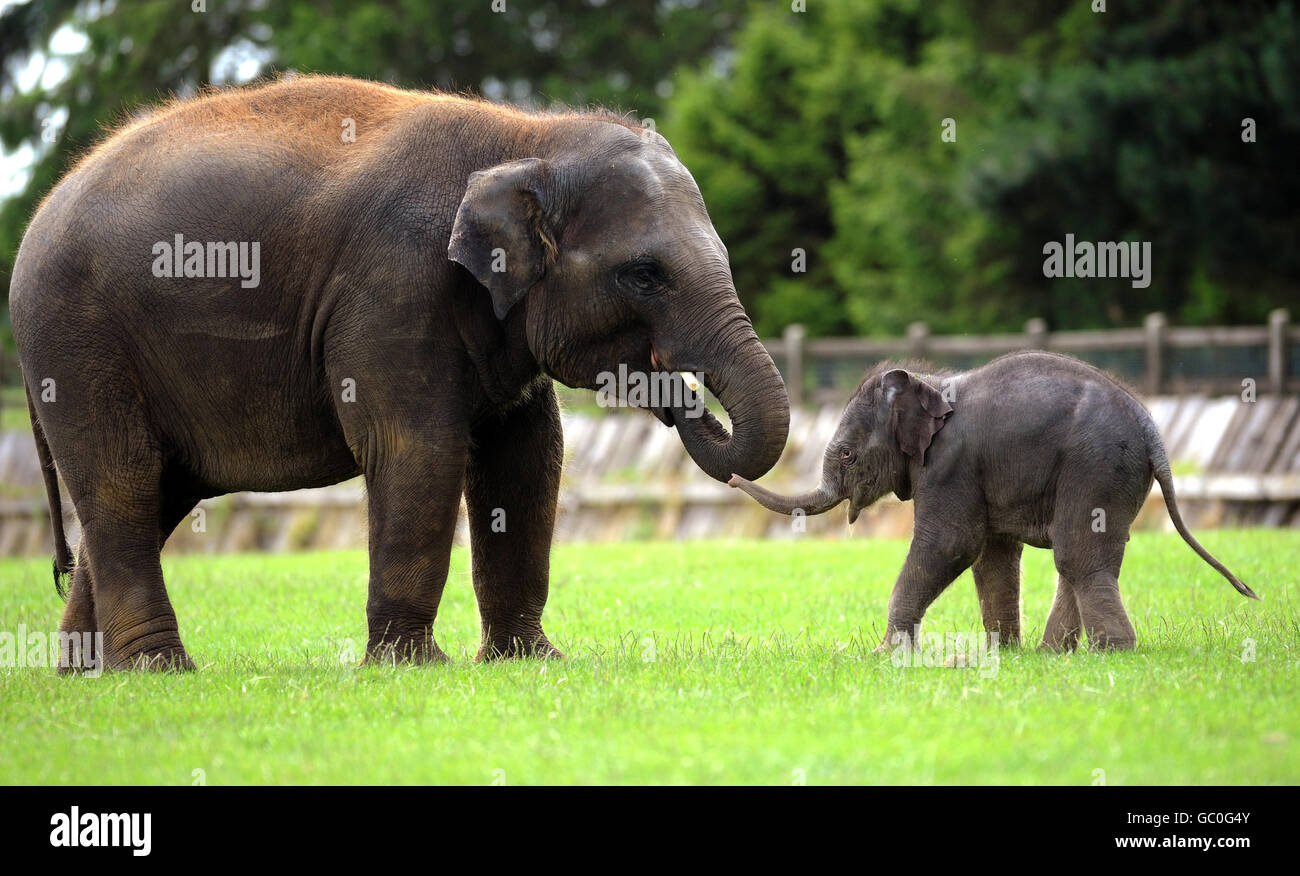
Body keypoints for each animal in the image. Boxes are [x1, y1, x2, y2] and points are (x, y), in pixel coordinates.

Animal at [10, 75, 790, 671]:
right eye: (645, 275)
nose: (679, 394)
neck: (527, 139)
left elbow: (528, 457)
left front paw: (532, 660)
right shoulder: (393, 288)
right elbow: (419, 449)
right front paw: (413, 666)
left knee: (155, 494)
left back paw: (88, 675)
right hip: (77, 341)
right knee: (124, 482)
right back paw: (160, 669)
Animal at [729, 351, 1257, 651]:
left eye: (846, 454)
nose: (731, 478)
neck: (929, 381)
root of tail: (1153, 431)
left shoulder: (950, 464)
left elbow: (952, 544)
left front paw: (885, 655)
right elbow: (992, 554)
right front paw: (1003, 653)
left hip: (1097, 464)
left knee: (1077, 556)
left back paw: (1112, 652)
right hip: (1114, 473)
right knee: (1083, 558)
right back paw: (1052, 655)